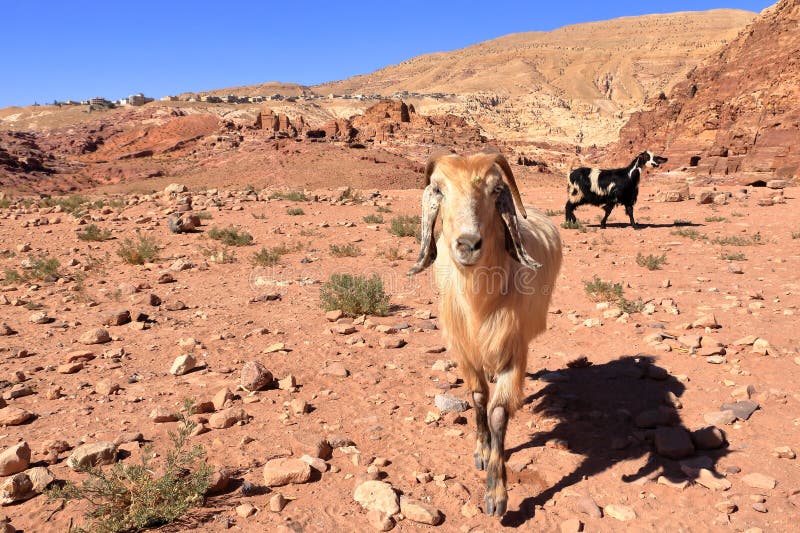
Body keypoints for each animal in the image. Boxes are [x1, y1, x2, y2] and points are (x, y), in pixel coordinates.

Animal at [408, 152, 562, 516]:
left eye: (495, 191)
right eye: (439, 189)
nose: (468, 244)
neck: (480, 305)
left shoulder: (514, 350)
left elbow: (498, 412)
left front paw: (496, 494)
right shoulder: (464, 351)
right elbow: (478, 397)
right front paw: (481, 450)